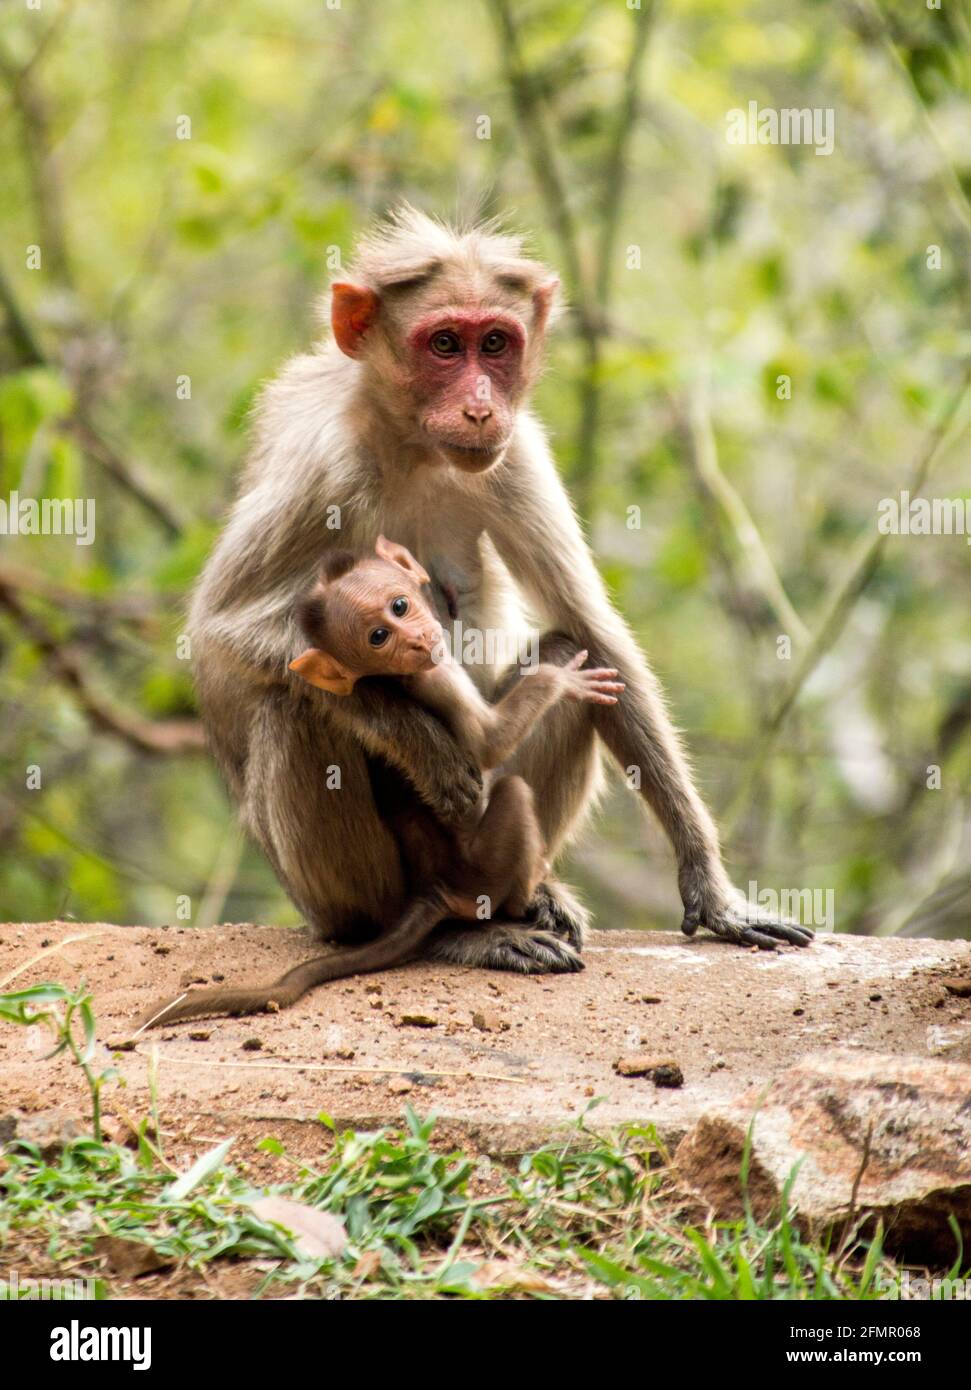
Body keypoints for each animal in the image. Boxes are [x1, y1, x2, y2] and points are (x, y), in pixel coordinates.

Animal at [136, 535, 624, 1027]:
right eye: (378, 637)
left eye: (400, 606)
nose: (416, 639)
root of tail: (434, 891)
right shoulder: (437, 673)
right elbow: (488, 741)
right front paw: (562, 680)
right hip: (472, 873)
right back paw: (512, 914)